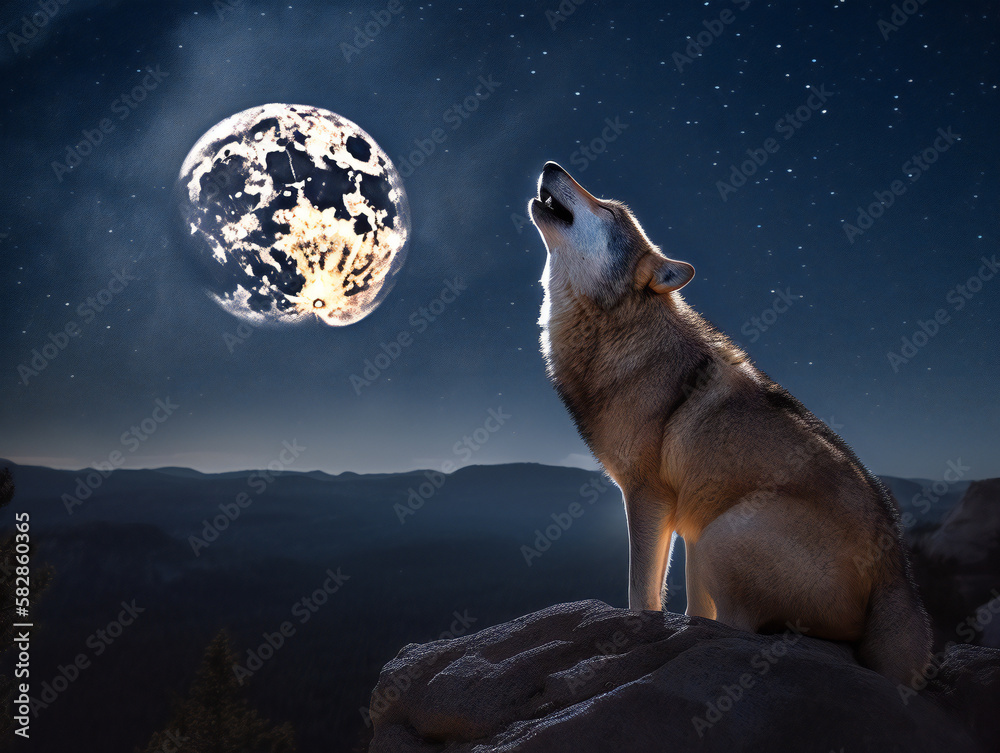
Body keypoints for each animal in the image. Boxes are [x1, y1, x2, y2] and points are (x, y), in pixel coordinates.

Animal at [528, 161, 931, 683]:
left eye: (610, 210)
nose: (550, 166)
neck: (619, 332)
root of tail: (897, 574)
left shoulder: (646, 494)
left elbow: (642, 593)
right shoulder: (678, 516)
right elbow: (675, 598)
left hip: (721, 534)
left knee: (738, 631)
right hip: (703, 536)